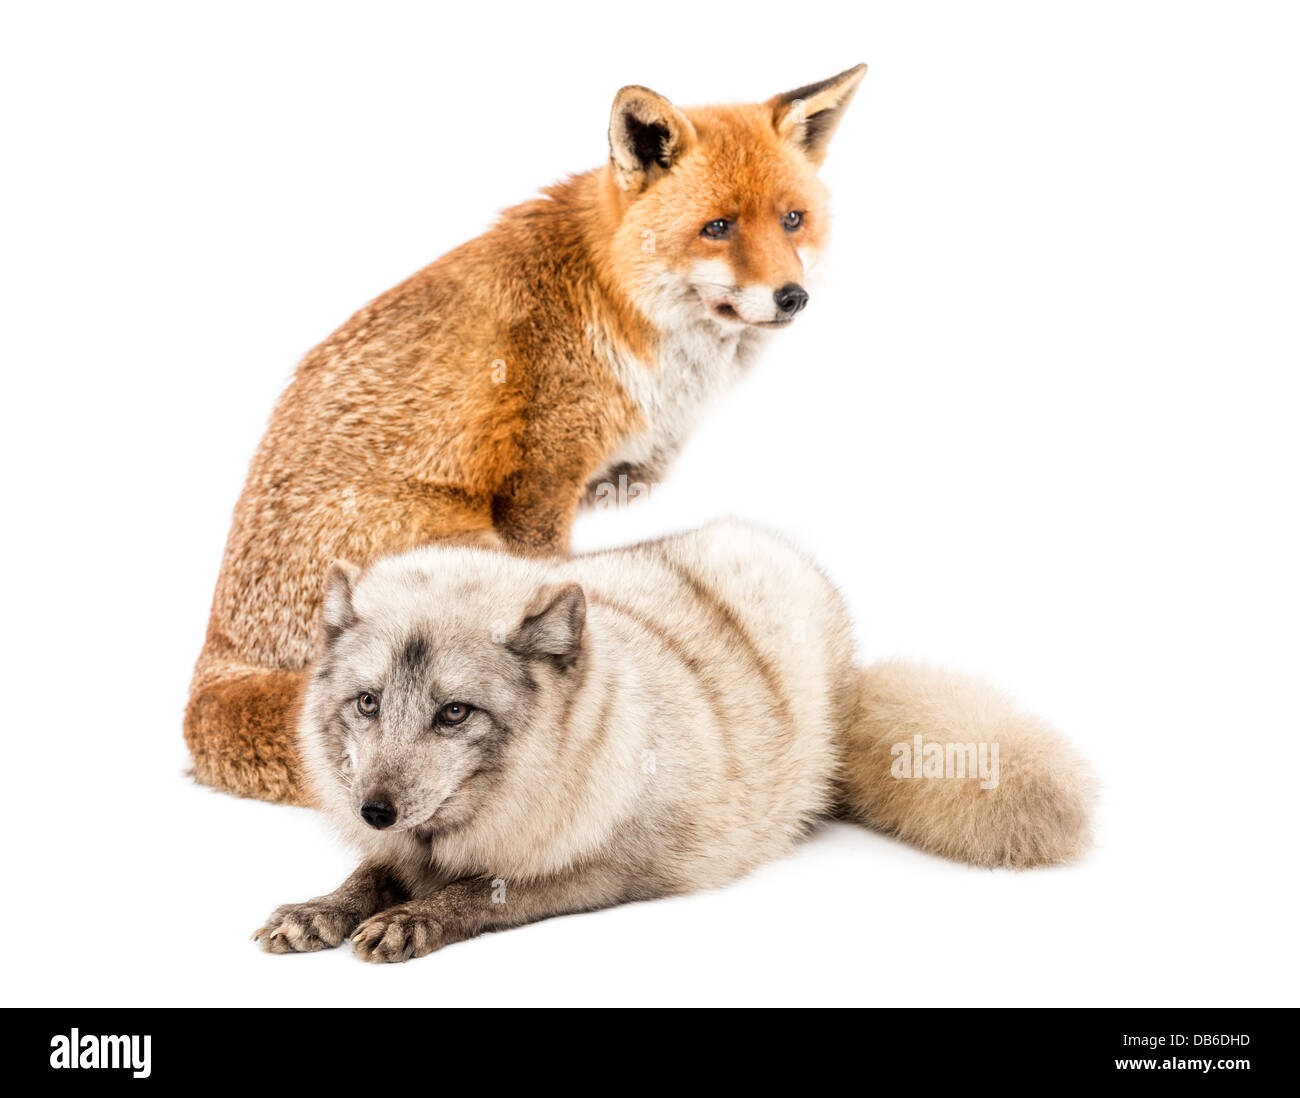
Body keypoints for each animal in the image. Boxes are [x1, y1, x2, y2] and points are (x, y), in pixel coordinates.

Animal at [186, 65, 868, 807]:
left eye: (793, 219)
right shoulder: (542, 481)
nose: (792, 296)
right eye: (716, 227)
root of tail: (213, 661)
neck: (612, 300)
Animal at [254, 521, 1096, 963]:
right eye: (367, 703)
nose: (374, 809)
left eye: (455, 713)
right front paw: (323, 908)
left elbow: (486, 891)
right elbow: (369, 875)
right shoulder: (399, 843)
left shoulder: (617, 868)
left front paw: (415, 918)